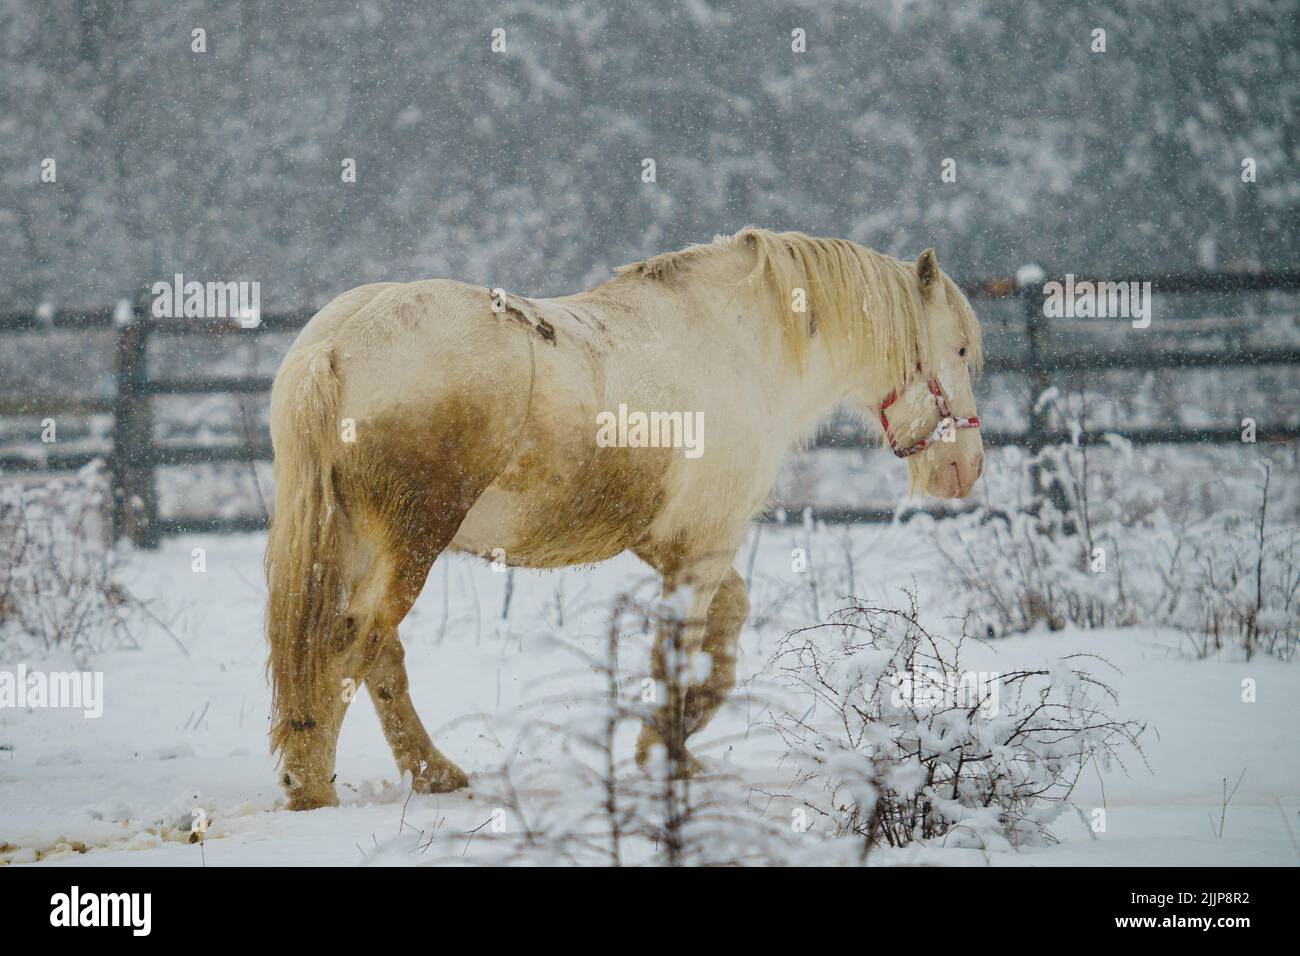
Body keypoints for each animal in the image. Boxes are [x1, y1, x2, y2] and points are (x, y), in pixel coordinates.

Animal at [265, 228, 984, 809]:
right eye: (957, 350)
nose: (967, 468)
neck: (741, 343)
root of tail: (336, 345)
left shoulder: (670, 543)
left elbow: (724, 629)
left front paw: (672, 741)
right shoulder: (706, 544)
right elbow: (681, 648)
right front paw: (665, 751)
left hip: (355, 542)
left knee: (367, 650)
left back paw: (424, 773)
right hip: (412, 539)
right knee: (354, 644)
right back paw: (322, 786)